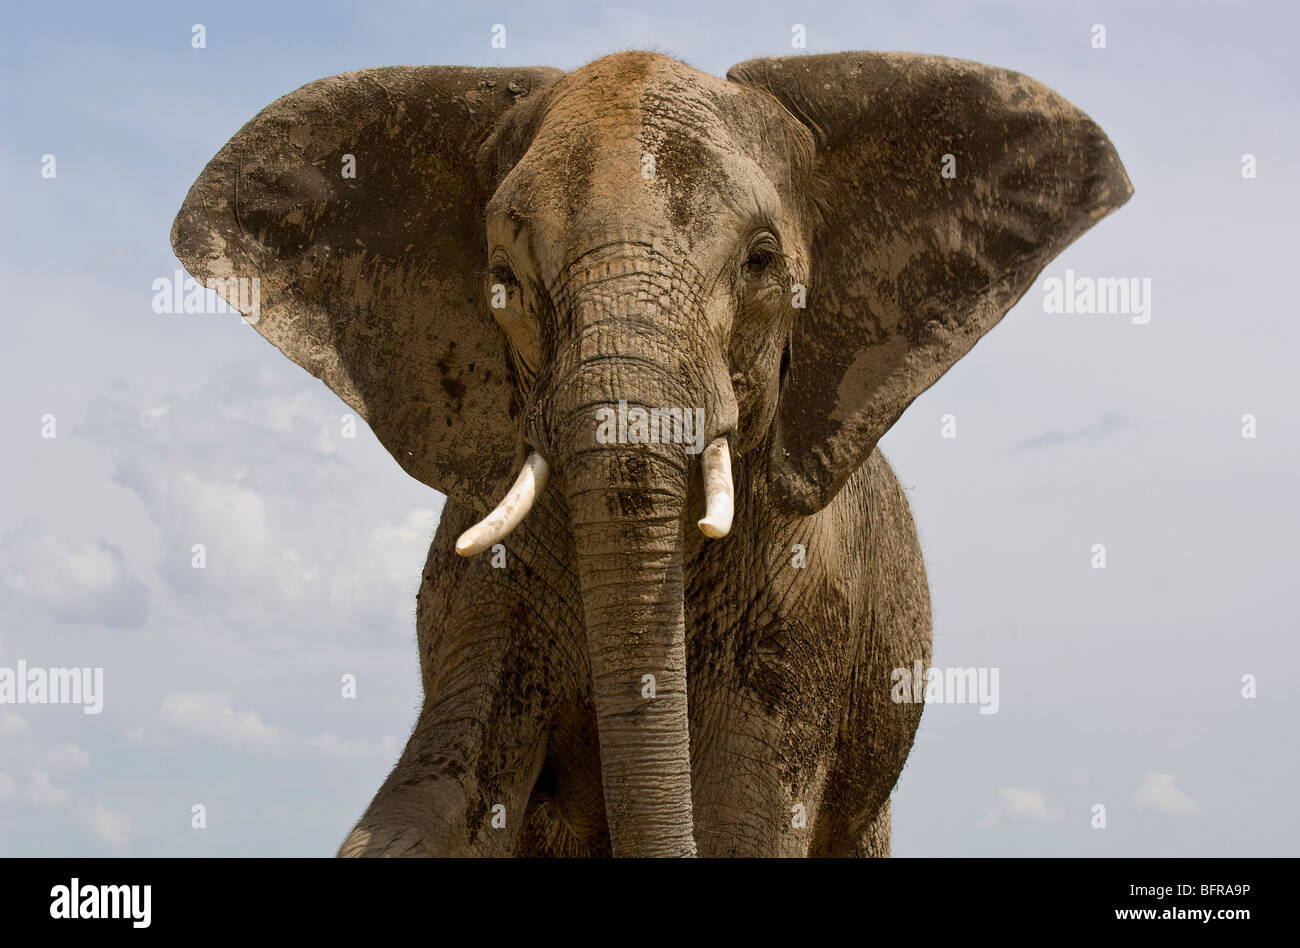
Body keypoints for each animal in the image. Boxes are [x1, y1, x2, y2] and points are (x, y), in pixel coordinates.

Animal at [171, 50, 1131, 857]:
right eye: (505, 279)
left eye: (760, 260)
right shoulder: (488, 584)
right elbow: (436, 796)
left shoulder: (809, 609)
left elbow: (746, 821)